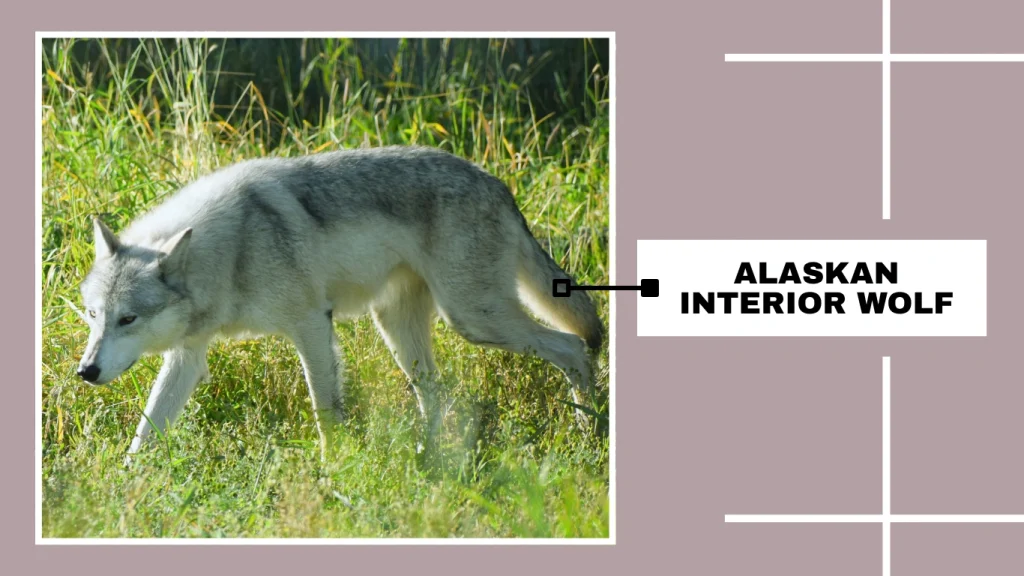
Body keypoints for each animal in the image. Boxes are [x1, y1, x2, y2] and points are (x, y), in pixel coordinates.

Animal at [76, 145, 604, 461]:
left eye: (128, 319)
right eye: (95, 316)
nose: (85, 371)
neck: (230, 252)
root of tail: (498, 185)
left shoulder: (311, 324)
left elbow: (325, 409)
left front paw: (334, 471)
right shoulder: (187, 355)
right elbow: (145, 433)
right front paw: (128, 490)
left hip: (474, 320)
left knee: (575, 347)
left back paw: (589, 433)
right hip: (403, 333)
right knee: (438, 394)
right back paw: (428, 455)